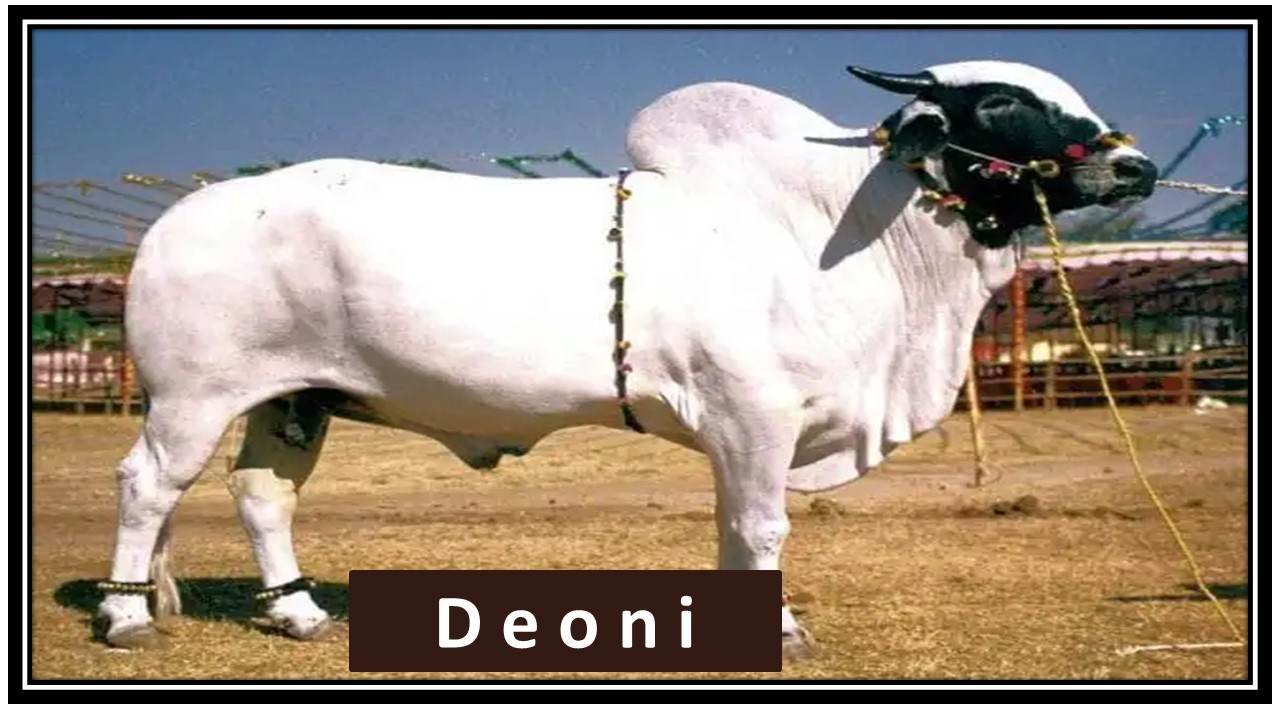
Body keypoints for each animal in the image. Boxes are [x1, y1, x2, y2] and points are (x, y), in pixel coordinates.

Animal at [94, 60, 1156, 654]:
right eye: (1003, 100)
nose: (1135, 165)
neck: (838, 226)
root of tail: (175, 220)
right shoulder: (756, 417)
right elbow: (763, 530)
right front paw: (782, 635)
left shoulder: (742, 433)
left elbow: (735, 531)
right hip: (191, 399)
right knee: (148, 487)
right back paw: (128, 617)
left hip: (296, 399)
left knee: (261, 495)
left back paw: (299, 614)